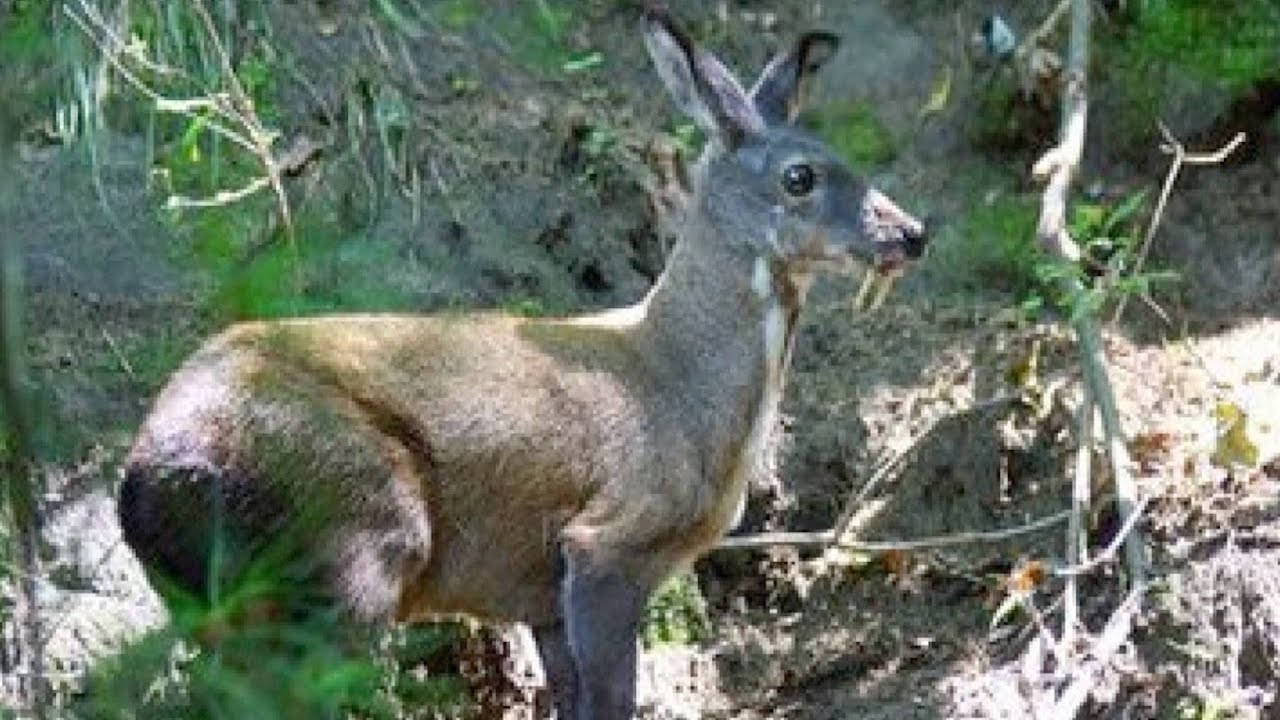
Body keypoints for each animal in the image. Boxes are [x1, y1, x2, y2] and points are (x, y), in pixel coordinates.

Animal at [118, 7, 928, 719]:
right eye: (800, 176)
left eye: (852, 162)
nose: (912, 233)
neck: (682, 392)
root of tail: (145, 476)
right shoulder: (608, 540)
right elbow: (612, 701)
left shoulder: (539, 590)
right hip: (352, 533)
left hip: (226, 597)